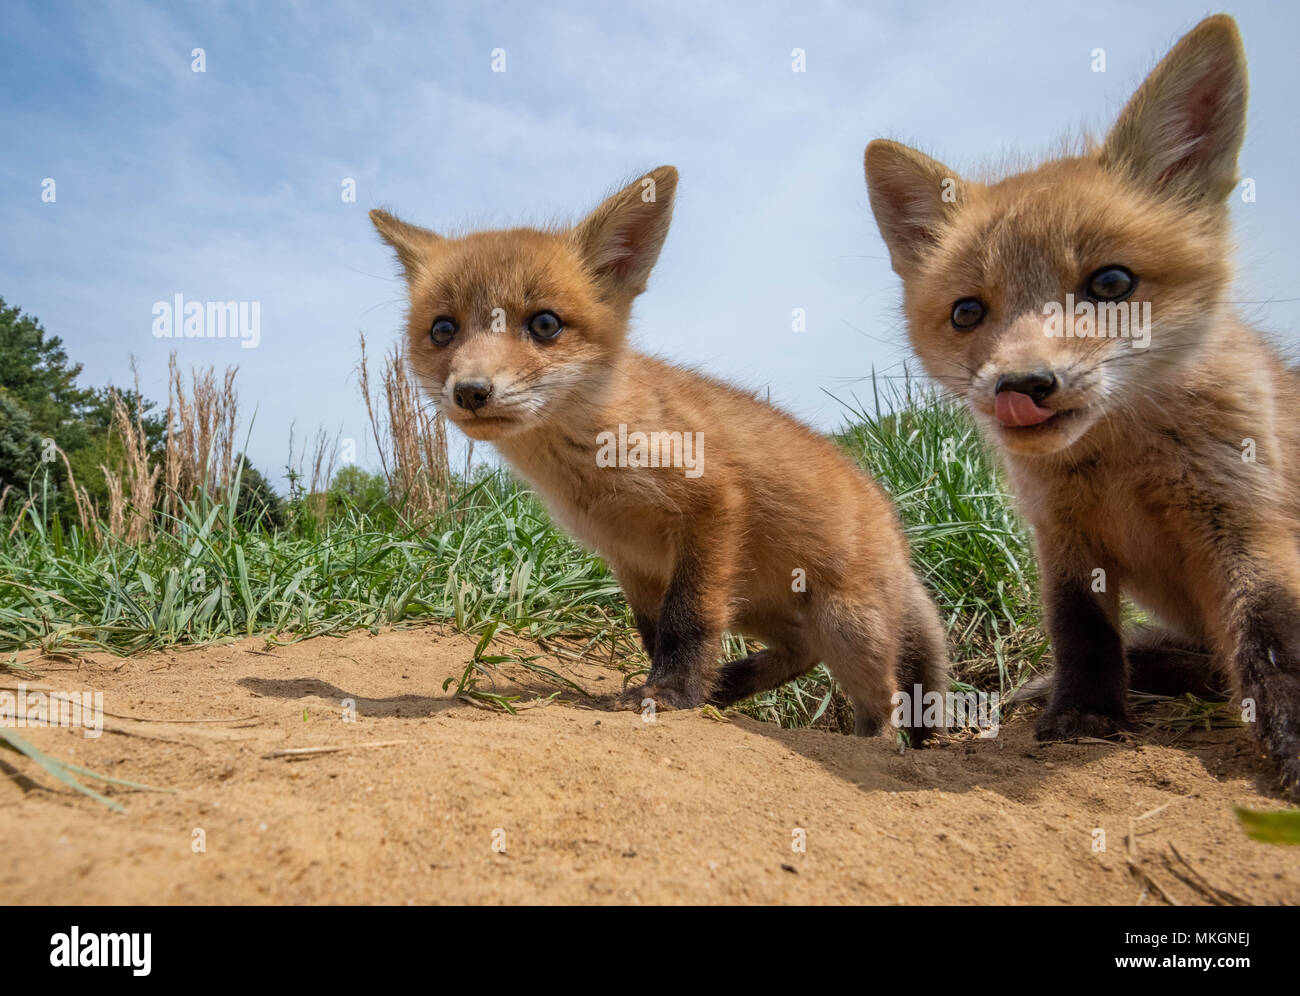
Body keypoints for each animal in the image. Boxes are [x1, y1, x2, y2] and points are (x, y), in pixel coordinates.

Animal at [370, 167, 949, 741]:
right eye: (443, 330)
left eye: (544, 324)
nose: (470, 391)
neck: (586, 470)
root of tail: (894, 521)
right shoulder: (629, 556)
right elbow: (653, 630)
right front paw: (675, 688)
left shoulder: (712, 505)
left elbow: (686, 619)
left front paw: (671, 694)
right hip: (754, 605)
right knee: (803, 650)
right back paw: (731, 684)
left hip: (845, 624)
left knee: (884, 698)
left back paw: (872, 743)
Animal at [864, 14, 1300, 796]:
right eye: (968, 312)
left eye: (1112, 283)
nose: (1021, 387)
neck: (1124, 466)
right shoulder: (1062, 535)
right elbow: (1082, 632)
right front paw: (1085, 716)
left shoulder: (1248, 521)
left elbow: (1274, 640)